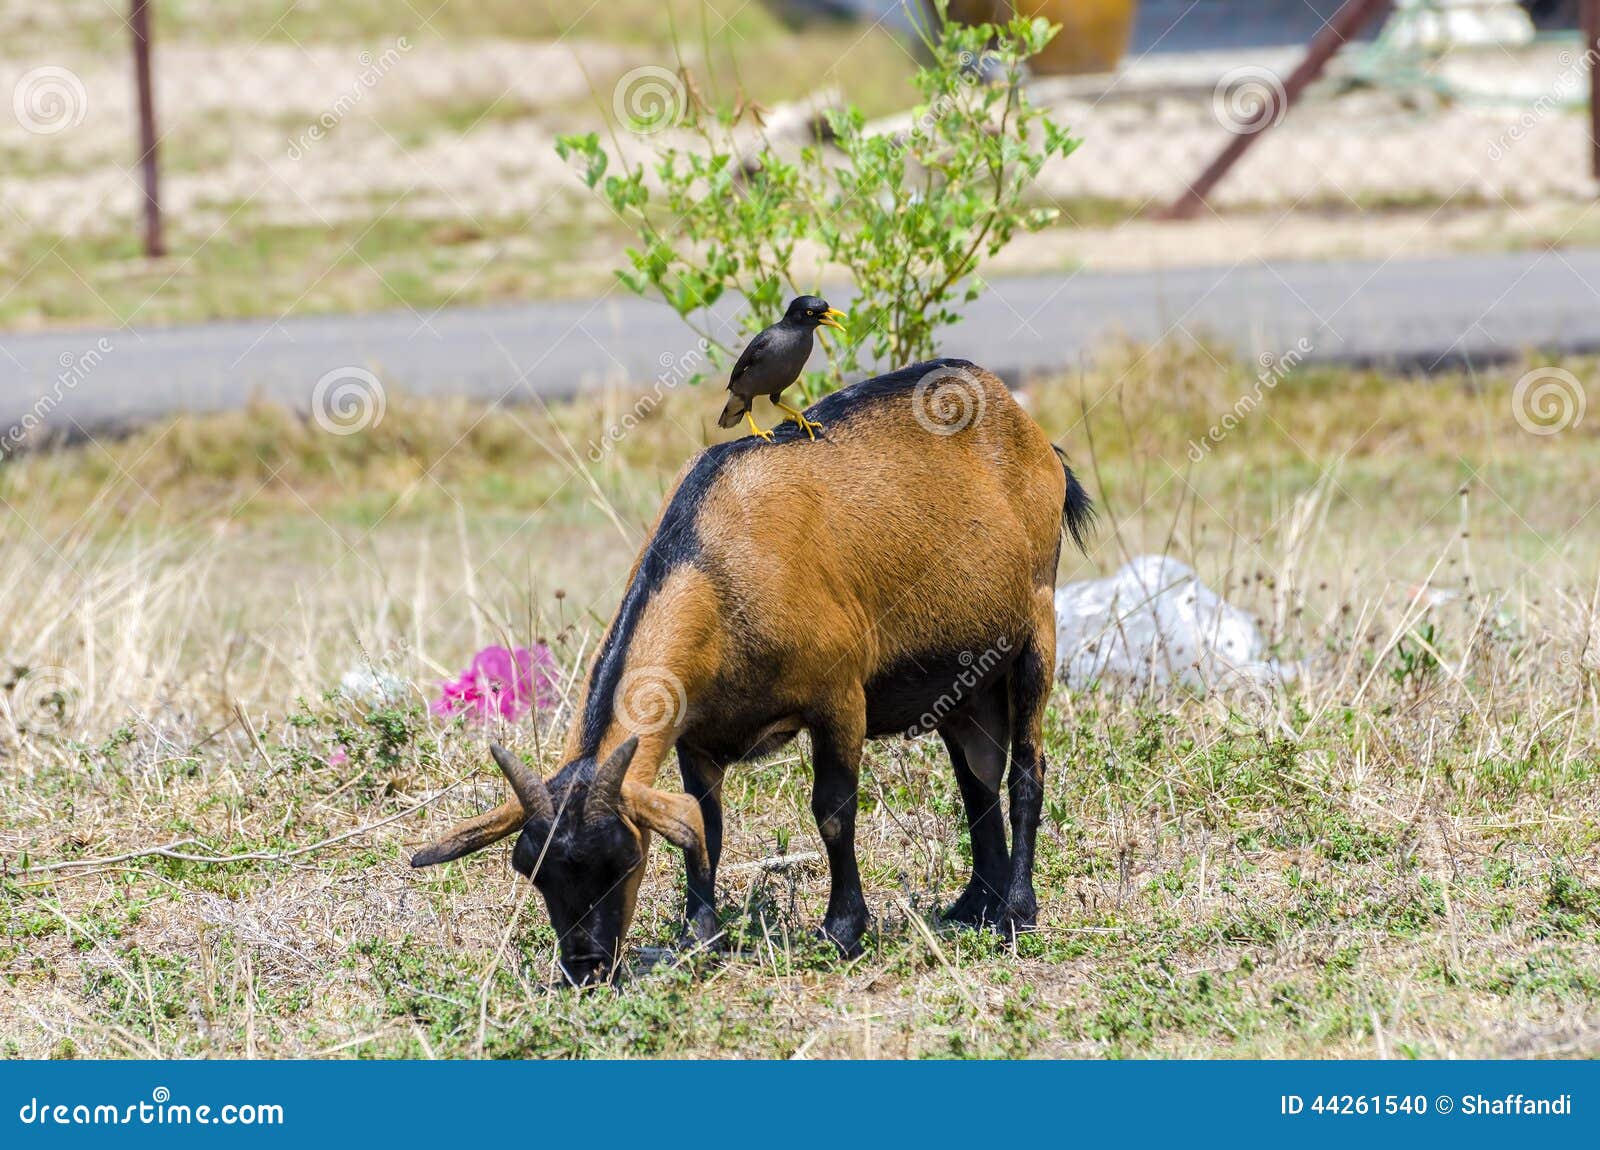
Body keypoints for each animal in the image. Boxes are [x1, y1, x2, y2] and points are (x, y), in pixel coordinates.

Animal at [411, 359, 1094, 984]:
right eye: (530, 869)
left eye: (623, 859)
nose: (585, 968)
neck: (717, 562)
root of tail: (1028, 429)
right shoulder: (695, 732)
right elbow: (704, 826)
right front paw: (699, 936)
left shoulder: (839, 698)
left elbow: (832, 811)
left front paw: (843, 931)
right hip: (963, 680)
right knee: (977, 777)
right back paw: (973, 907)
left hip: (1035, 625)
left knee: (1026, 773)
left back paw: (1017, 914)